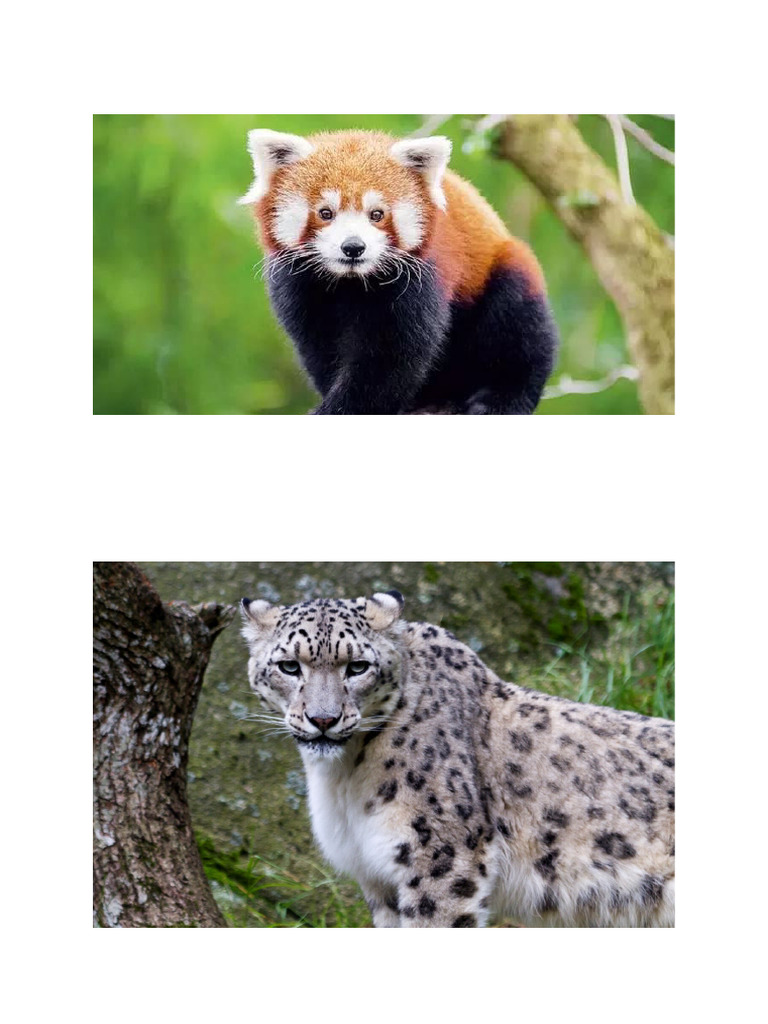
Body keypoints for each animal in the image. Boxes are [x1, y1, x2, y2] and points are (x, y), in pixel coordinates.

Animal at [240, 590, 675, 927]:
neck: (342, 780)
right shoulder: (378, 878)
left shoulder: (440, 856)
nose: (323, 719)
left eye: (358, 666)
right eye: (289, 666)